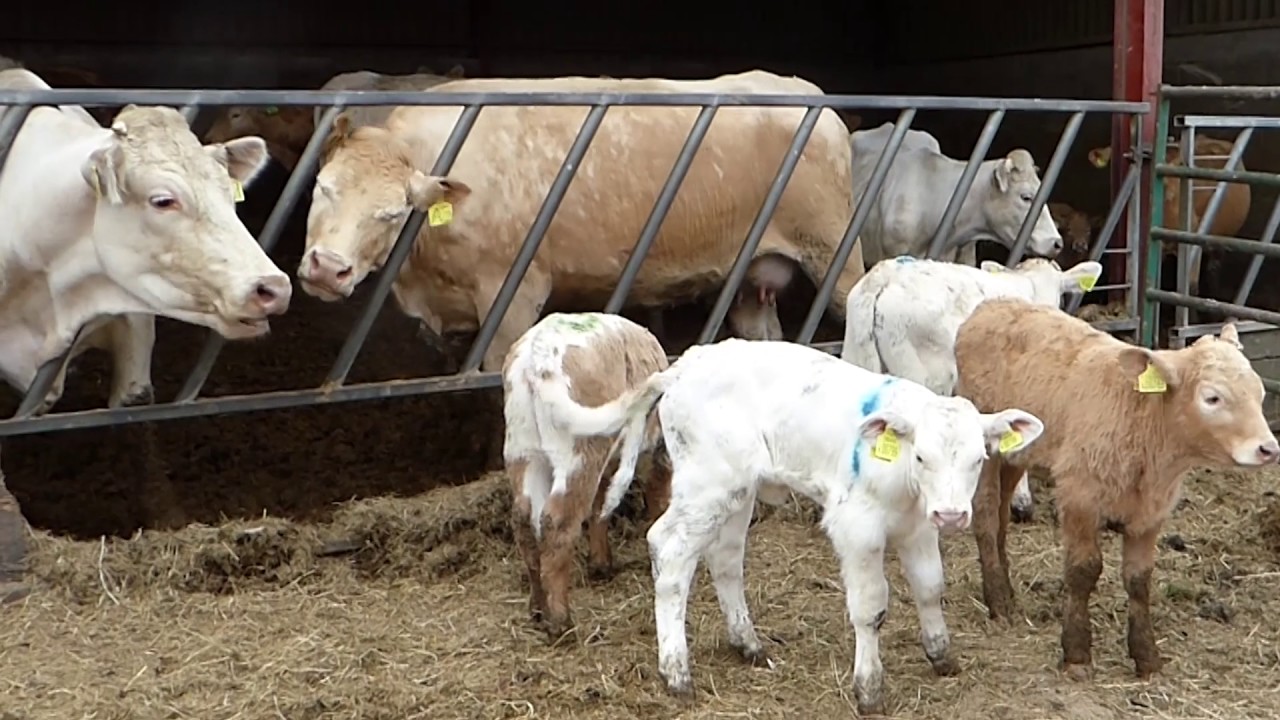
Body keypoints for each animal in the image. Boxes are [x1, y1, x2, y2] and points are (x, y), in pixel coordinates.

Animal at [298, 70, 867, 372]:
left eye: (392, 212)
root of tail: (805, 92)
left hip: (834, 252)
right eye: (322, 187)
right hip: (751, 277)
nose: (327, 269)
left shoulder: (515, 292)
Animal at [503, 312, 671, 640]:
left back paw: (538, 610)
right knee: (558, 522)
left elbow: (600, 505)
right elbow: (657, 496)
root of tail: (537, 356)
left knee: (525, 521)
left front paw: (600, 564)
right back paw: (560, 622)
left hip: (523, 451)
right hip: (579, 451)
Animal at [589, 338, 1044, 716]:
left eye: (978, 458)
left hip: (736, 490)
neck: (904, 484)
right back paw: (677, 673)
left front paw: (941, 657)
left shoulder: (919, 527)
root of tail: (682, 366)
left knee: (726, 558)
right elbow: (871, 608)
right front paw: (869, 689)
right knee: (669, 551)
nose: (951, 515)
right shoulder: (857, 528)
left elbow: (931, 587)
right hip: (707, 485)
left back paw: (748, 645)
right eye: (921, 457)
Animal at [955, 302, 1278, 681]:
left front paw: (1147, 657)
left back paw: (1006, 589)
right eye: (1212, 398)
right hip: (987, 445)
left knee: (1003, 513)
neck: (1144, 421)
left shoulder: (1150, 513)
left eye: (1259, 393)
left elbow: (1139, 579)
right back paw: (998, 601)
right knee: (987, 514)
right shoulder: (1079, 497)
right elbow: (1083, 570)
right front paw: (1077, 655)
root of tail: (993, 304)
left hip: (1017, 451)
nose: (1268, 449)